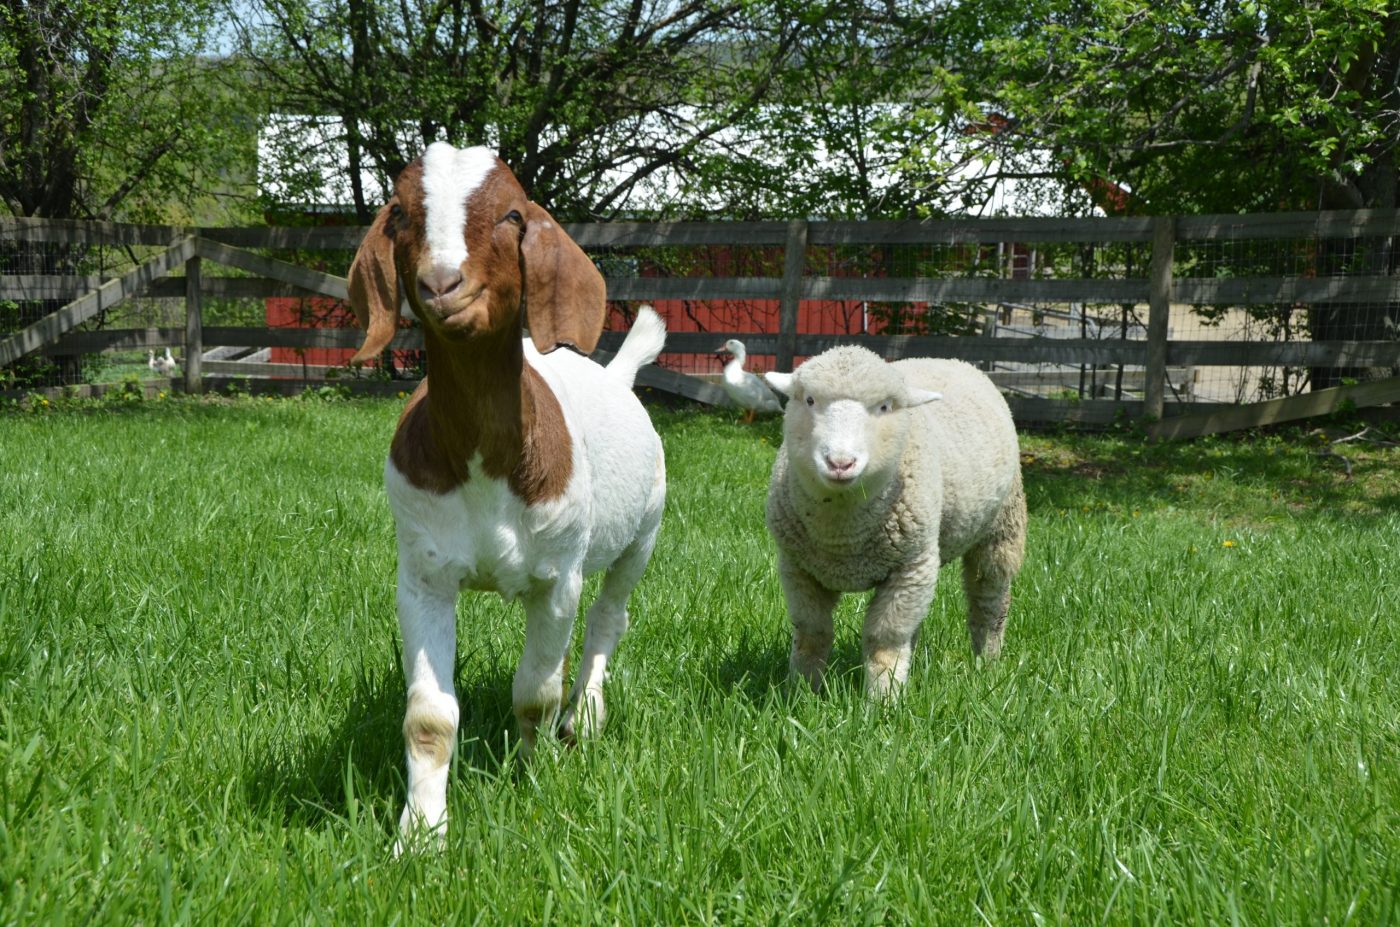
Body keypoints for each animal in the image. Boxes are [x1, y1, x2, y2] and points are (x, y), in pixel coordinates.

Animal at [346, 141, 668, 847]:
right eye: (400, 213)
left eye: (513, 214)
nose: (443, 284)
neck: (484, 461)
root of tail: (616, 374)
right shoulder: (422, 576)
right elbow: (429, 716)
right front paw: (420, 832)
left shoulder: (557, 578)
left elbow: (535, 694)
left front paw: (540, 779)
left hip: (643, 532)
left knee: (609, 618)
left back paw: (588, 715)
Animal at [763, 346, 1026, 698]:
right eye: (809, 400)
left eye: (885, 407)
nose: (840, 463)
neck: (842, 536)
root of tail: (949, 359)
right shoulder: (797, 568)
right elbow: (811, 634)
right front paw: (802, 693)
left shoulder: (910, 566)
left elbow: (884, 642)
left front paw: (884, 700)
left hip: (1001, 529)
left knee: (989, 602)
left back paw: (987, 664)